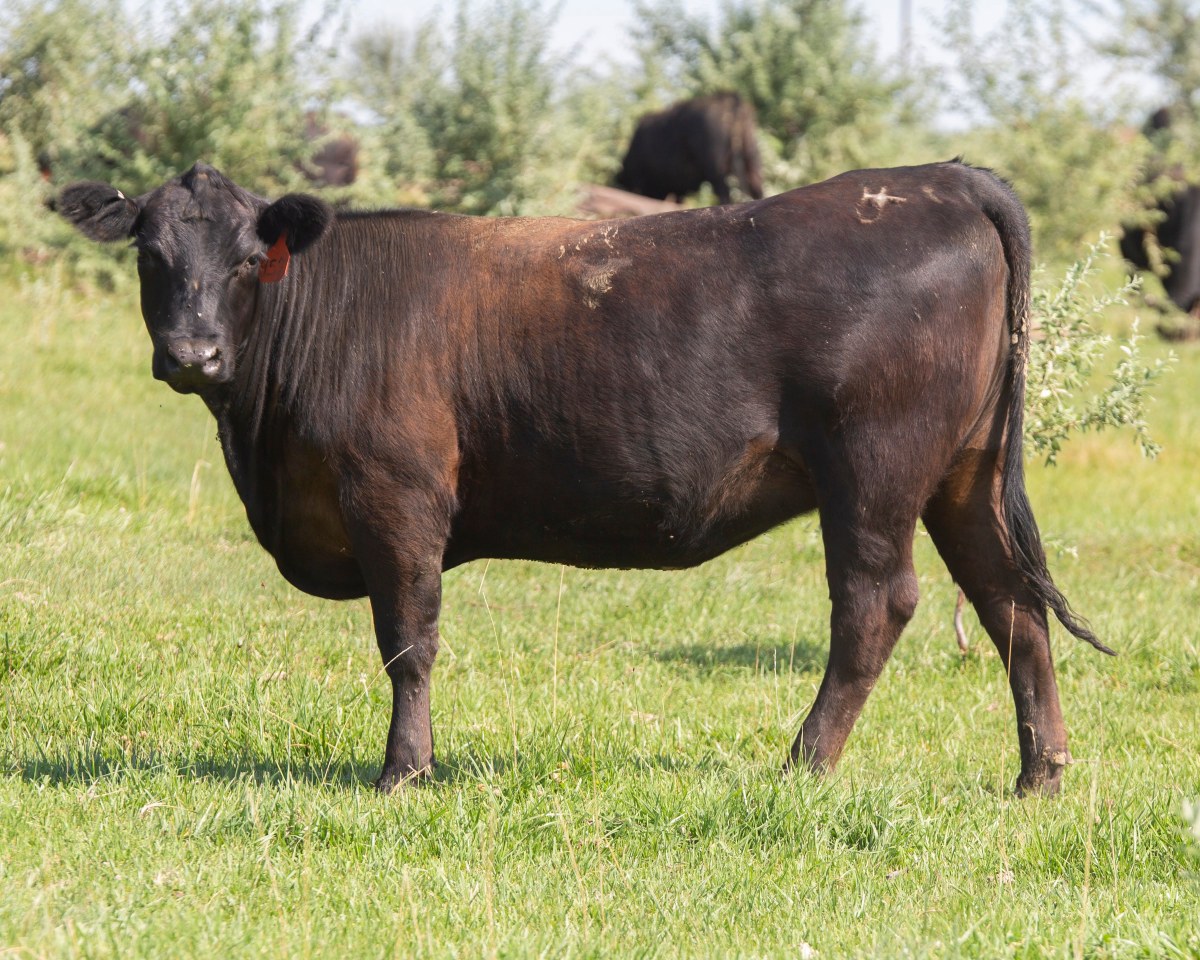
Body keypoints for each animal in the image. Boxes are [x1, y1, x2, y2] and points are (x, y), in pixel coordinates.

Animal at [57, 160, 1110, 797]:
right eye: (151, 255)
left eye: (246, 259)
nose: (192, 354)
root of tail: (935, 178)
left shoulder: (395, 496)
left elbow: (408, 642)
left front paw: (404, 772)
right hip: (963, 475)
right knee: (1011, 603)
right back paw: (1039, 776)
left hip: (874, 473)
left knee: (876, 606)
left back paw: (803, 765)